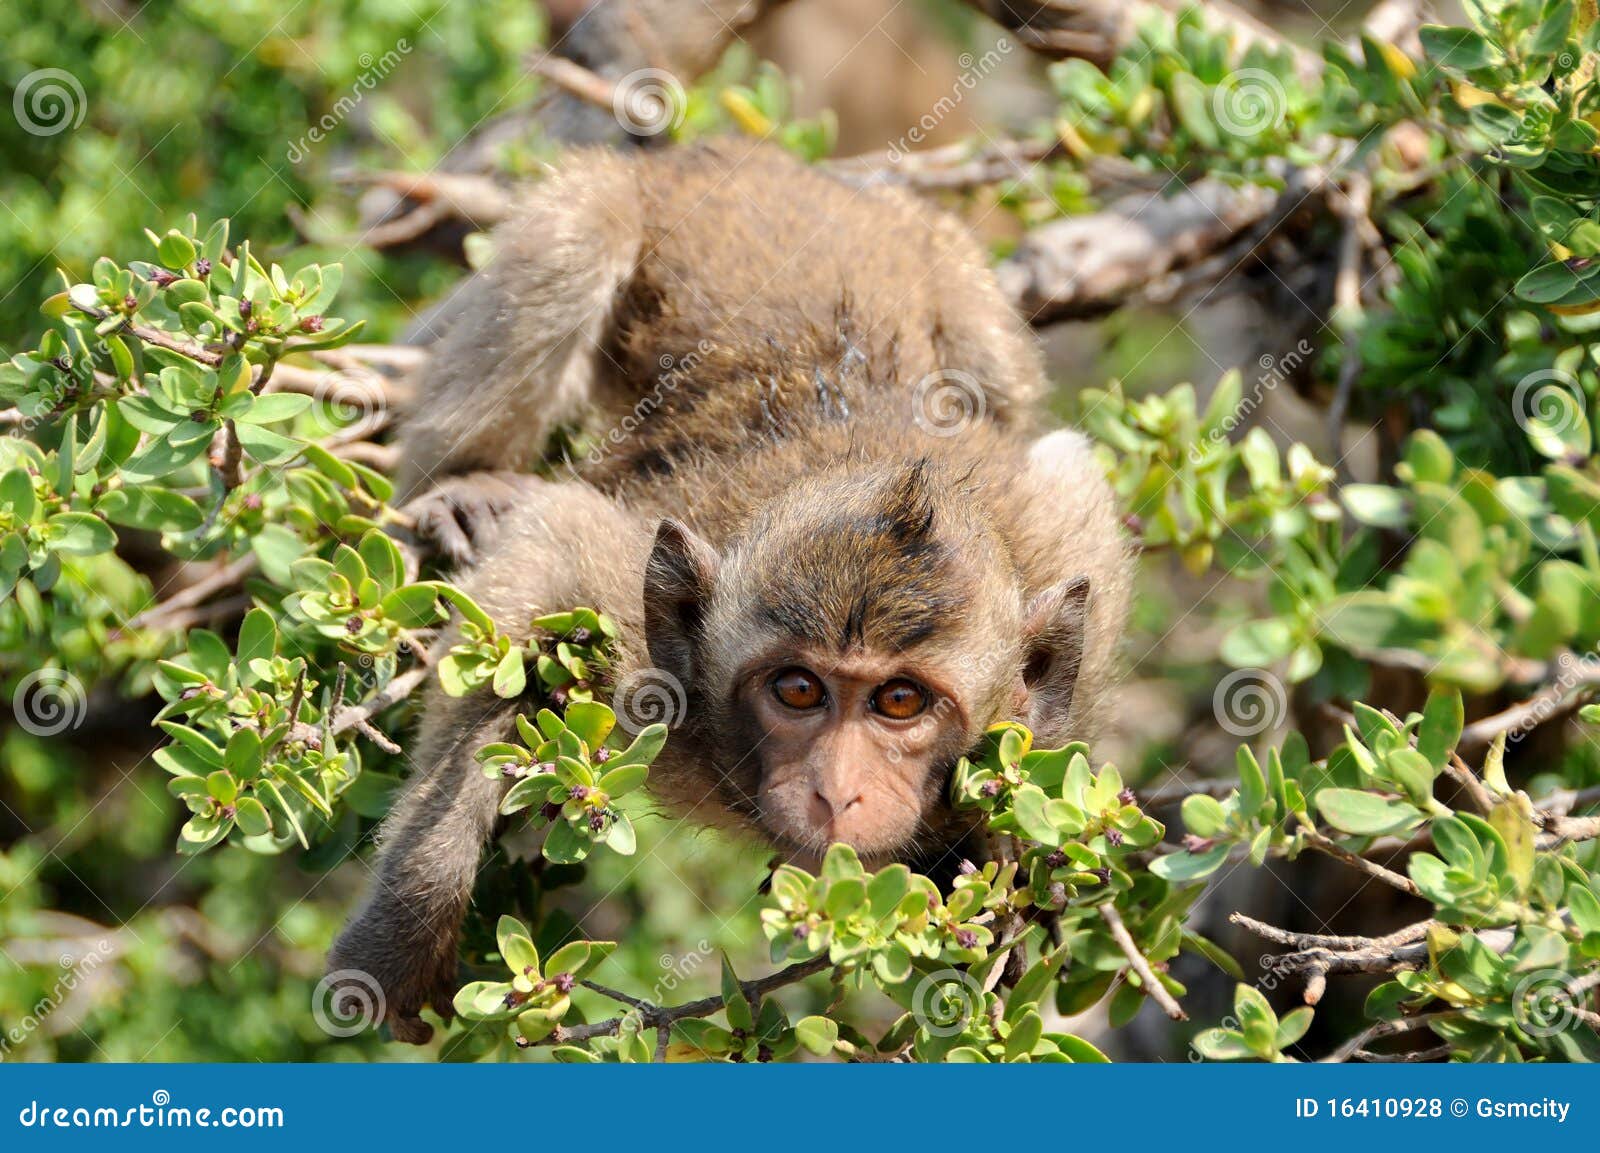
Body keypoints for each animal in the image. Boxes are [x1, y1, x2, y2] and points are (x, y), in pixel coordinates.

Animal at [327, 142, 1134, 1042]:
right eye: (797, 689)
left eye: (900, 701)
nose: (835, 791)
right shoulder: (652, 669)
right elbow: (551, 543)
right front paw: (409, 915)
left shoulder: (1048, 536)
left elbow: (1073, 489)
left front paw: (995, 852)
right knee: (580, 233)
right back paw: (464, 481)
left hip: (951, 265)